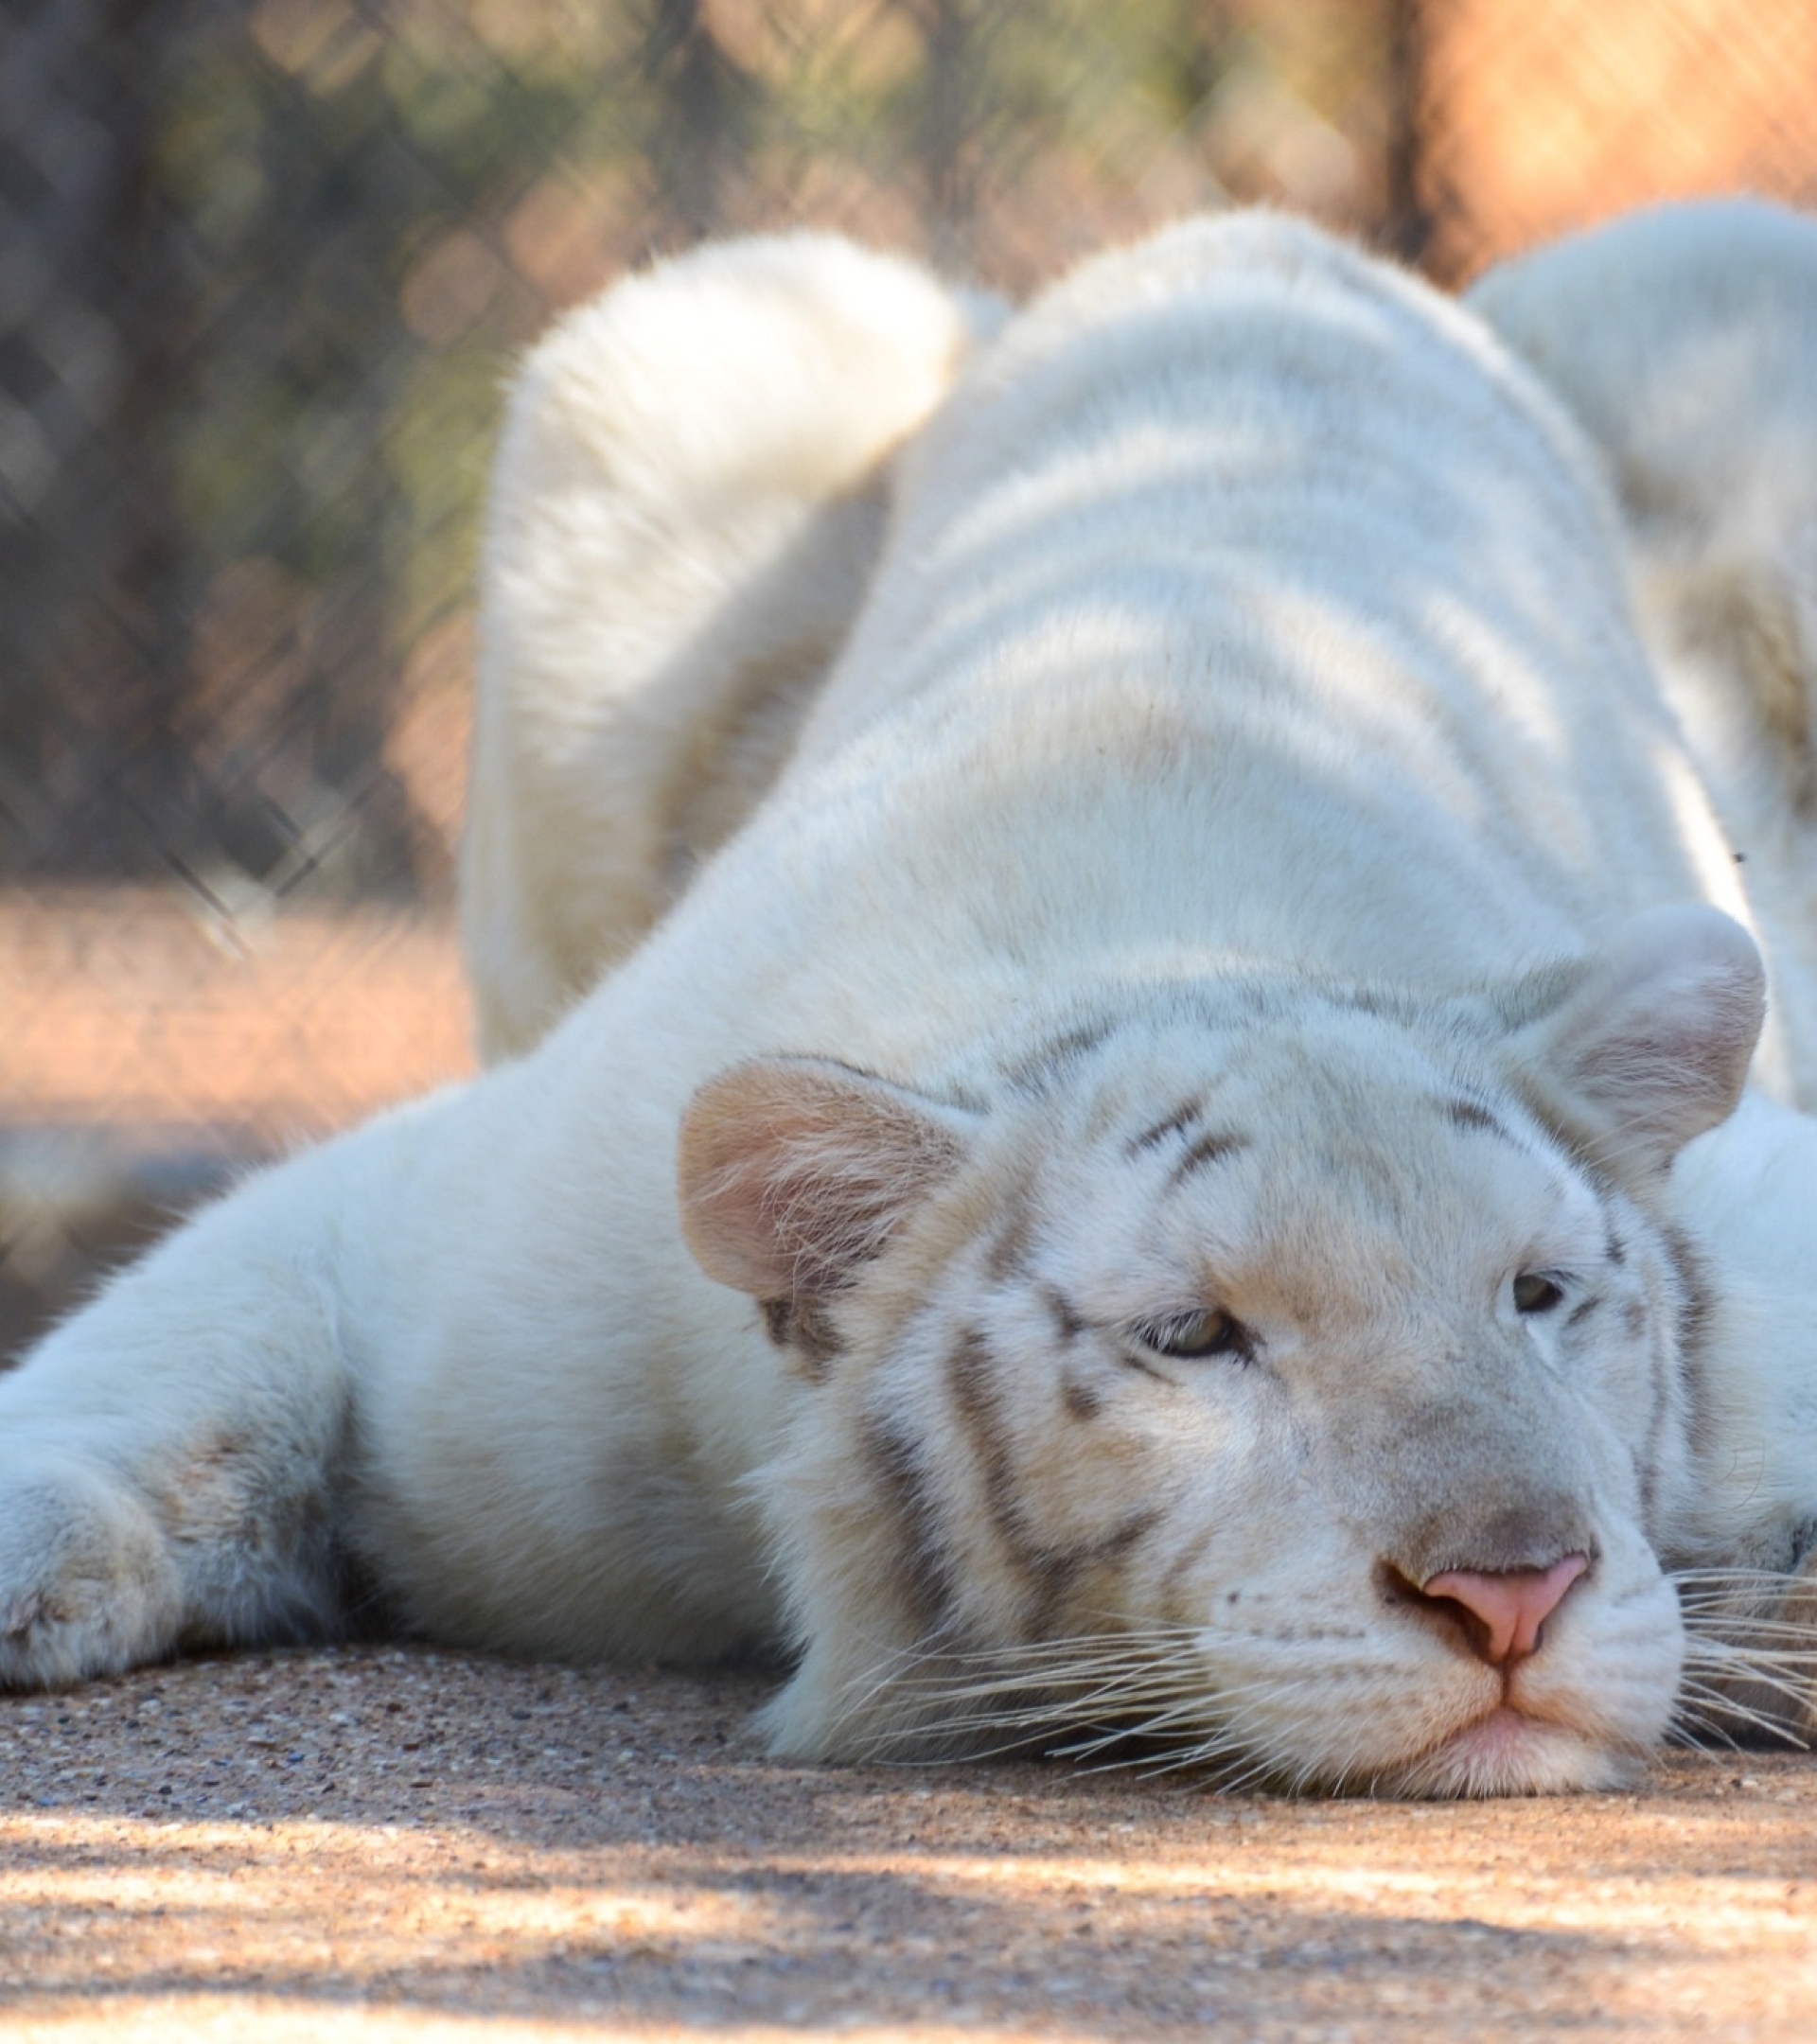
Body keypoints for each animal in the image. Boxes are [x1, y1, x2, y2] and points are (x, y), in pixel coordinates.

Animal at [3, 209, 1816, 1799]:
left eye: (1542, 1294)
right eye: (1196, 1338)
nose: (1516, 1590)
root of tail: (1248, 233)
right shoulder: (464, 1239)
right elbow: (175, 1343)